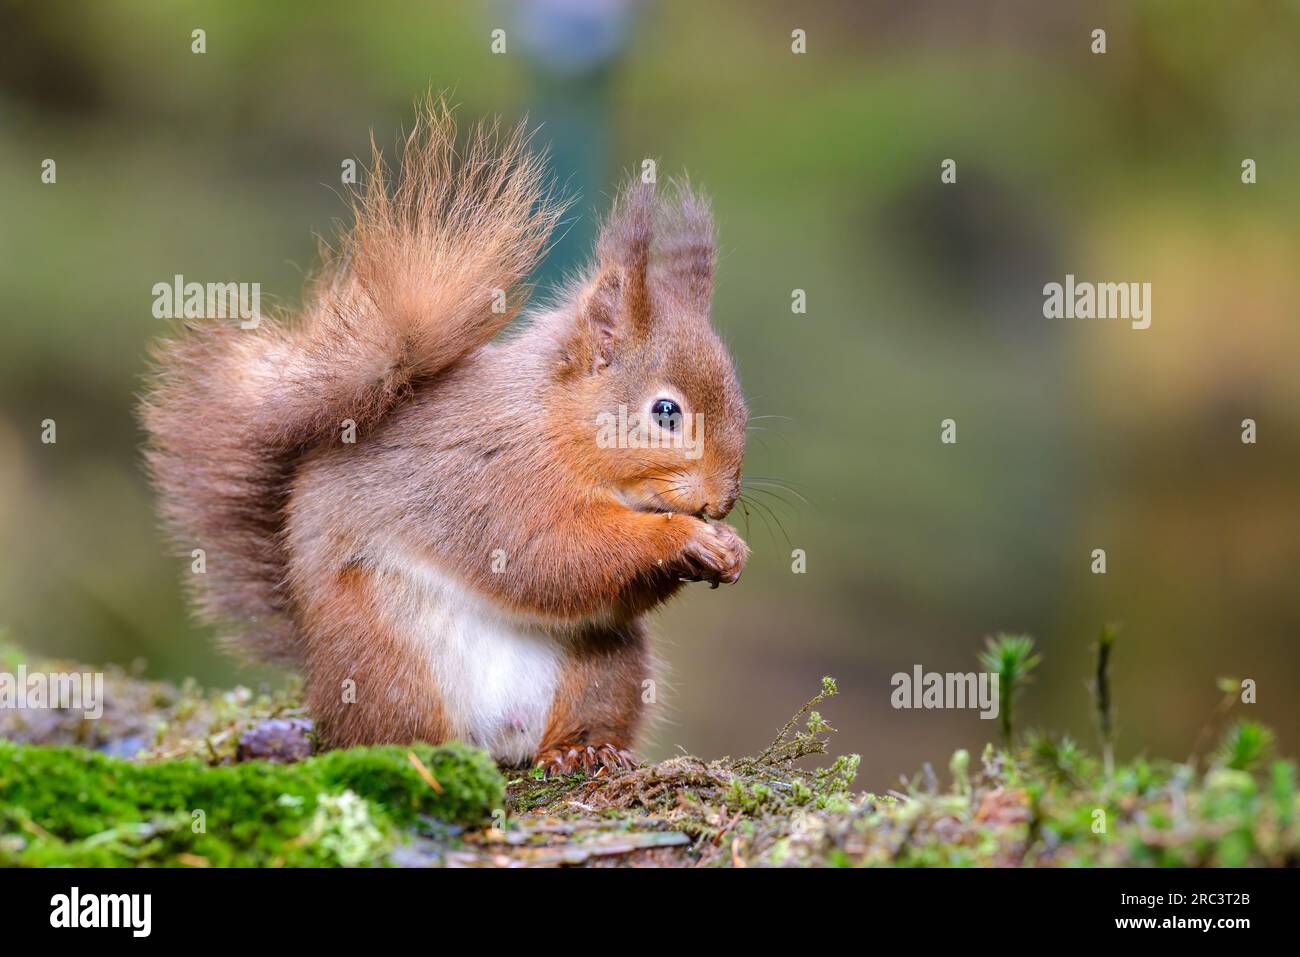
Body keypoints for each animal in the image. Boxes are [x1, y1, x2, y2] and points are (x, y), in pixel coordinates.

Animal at [140, 99, 749, 775]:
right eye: (666, 412)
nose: (721, 499)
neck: (554, 426)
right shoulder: (492, 482)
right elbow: (552, 555)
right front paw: (684, 536)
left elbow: (602, 592)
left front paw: (730, 548)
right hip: (384, 653)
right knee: (392, 730)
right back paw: (419, 756)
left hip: (607, 668)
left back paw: (581, 750)